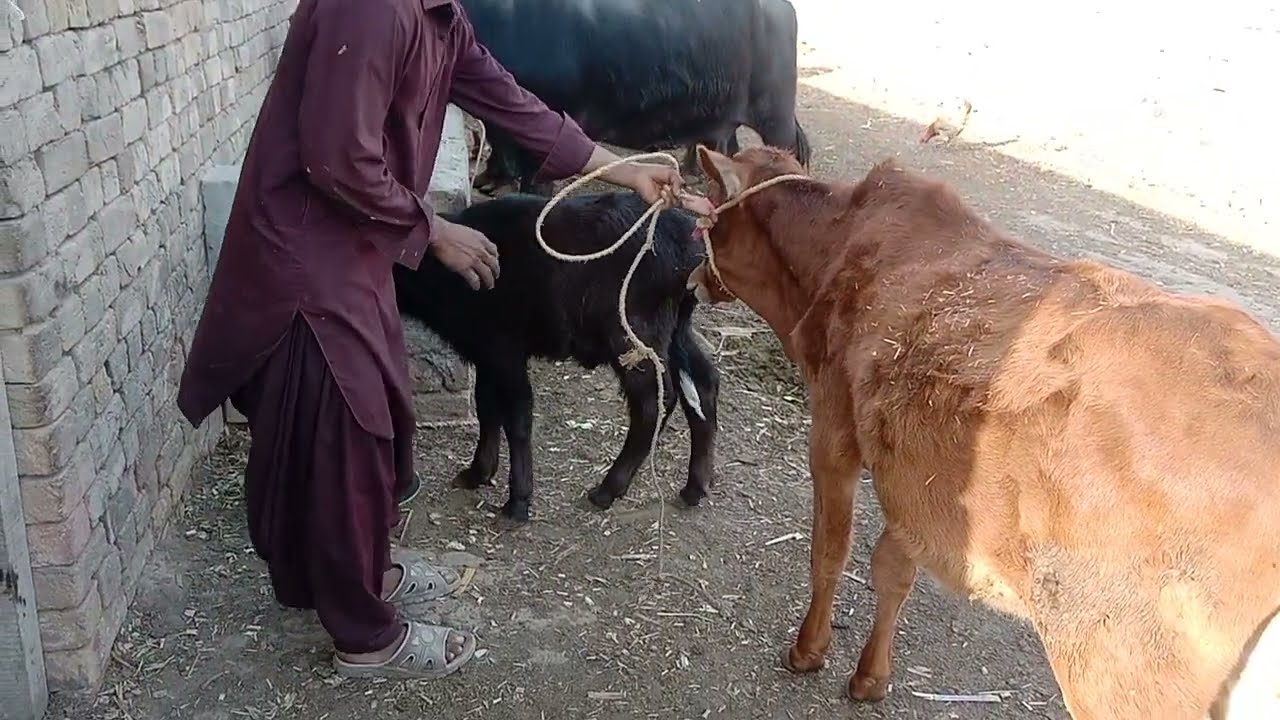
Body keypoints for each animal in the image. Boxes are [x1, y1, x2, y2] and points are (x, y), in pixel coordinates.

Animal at [393, 191, 721, 523]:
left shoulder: (504, 349)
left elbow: (517, 415)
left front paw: (518, 500)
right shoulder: (486, 354)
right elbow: (487, 406)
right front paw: (478, 473)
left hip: (634, 335)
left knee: (654, 403)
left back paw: (608, 489)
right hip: (676, 329)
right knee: (703, 383)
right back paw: (694, 487)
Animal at [458, 0, 811, 195]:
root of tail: (783, 8)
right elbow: (500, 141)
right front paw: (491, 181)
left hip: (774, 113)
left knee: (787, 150)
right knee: (723, 145)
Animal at [684, 144, 1280, 719]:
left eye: (709, 205)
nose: (691, 278)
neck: (832, 250)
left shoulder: (833, 426)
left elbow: (830, 550)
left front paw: (809, 650)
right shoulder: (913, 476)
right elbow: (893, 569)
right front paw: (871, 678)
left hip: (1116, 665)